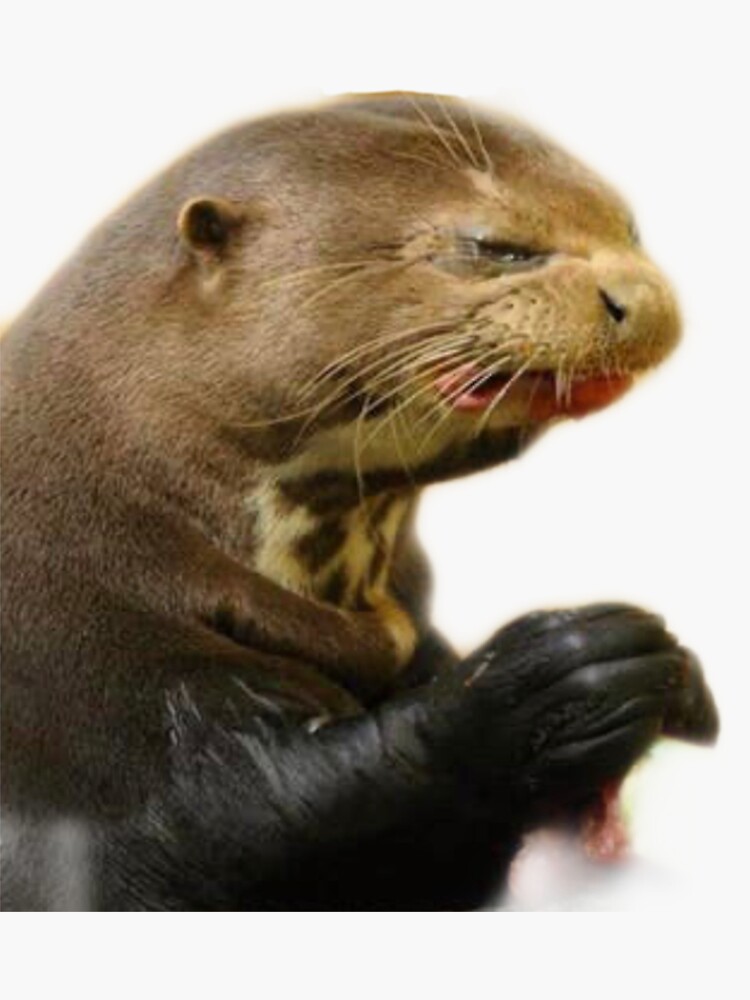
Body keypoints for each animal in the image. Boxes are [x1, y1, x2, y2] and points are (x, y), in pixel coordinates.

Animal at [0, 93, 718, 910]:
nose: (645, 297)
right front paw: (546, 686)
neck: (127, 529)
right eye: (497, 247)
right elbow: (259, 813)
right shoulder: (110, 703)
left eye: (629, 227)